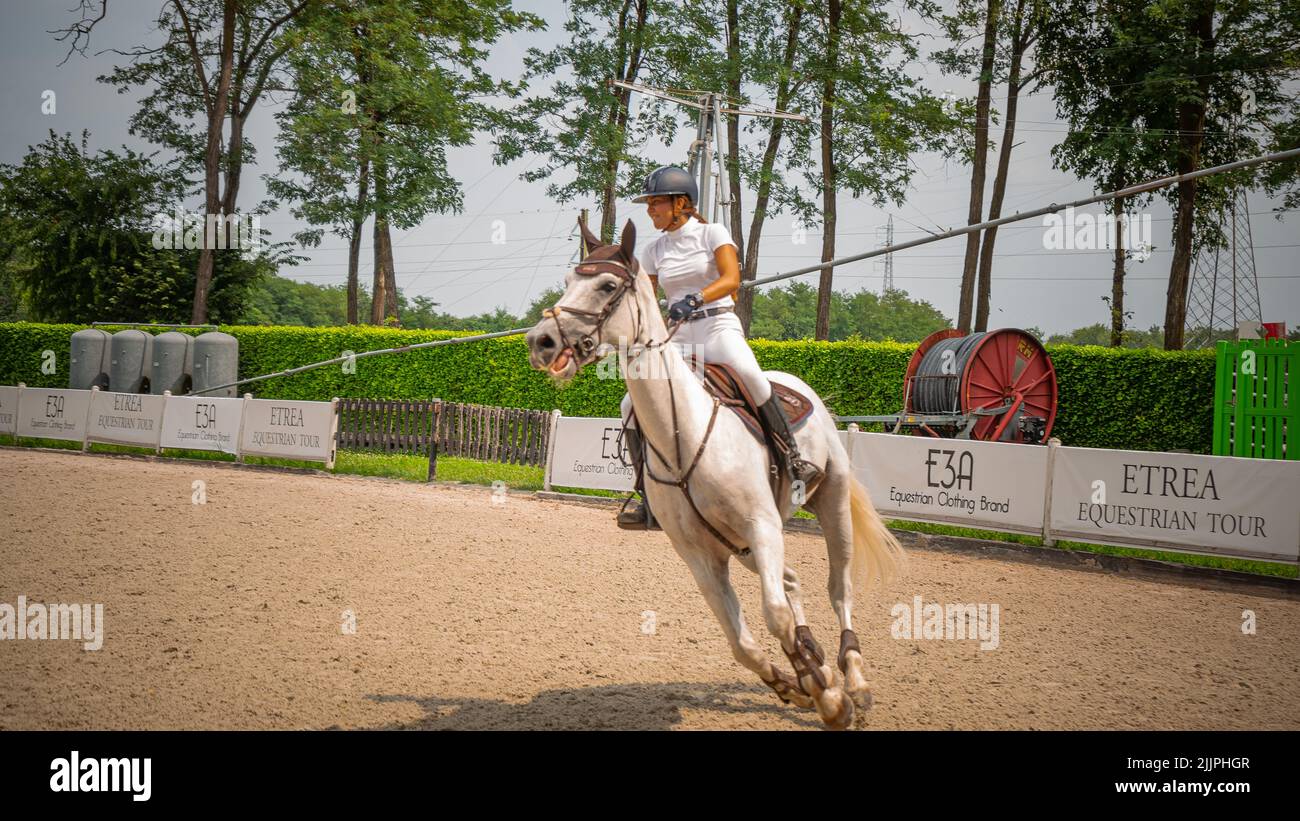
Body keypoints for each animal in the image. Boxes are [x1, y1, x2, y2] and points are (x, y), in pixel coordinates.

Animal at [525, 218, 905, 729]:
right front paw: (800, 686)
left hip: (829, 504)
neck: (683, 438)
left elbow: (774, 616)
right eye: (568, 281)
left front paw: (830, 698)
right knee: (791, 581)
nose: (541, 342)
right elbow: (742, 642)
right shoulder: (700, 556)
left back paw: (855, 682)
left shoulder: (761, 527)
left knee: (838, 589)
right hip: (741, 545)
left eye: (606, 285)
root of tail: (802, 386)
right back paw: (817, 662)